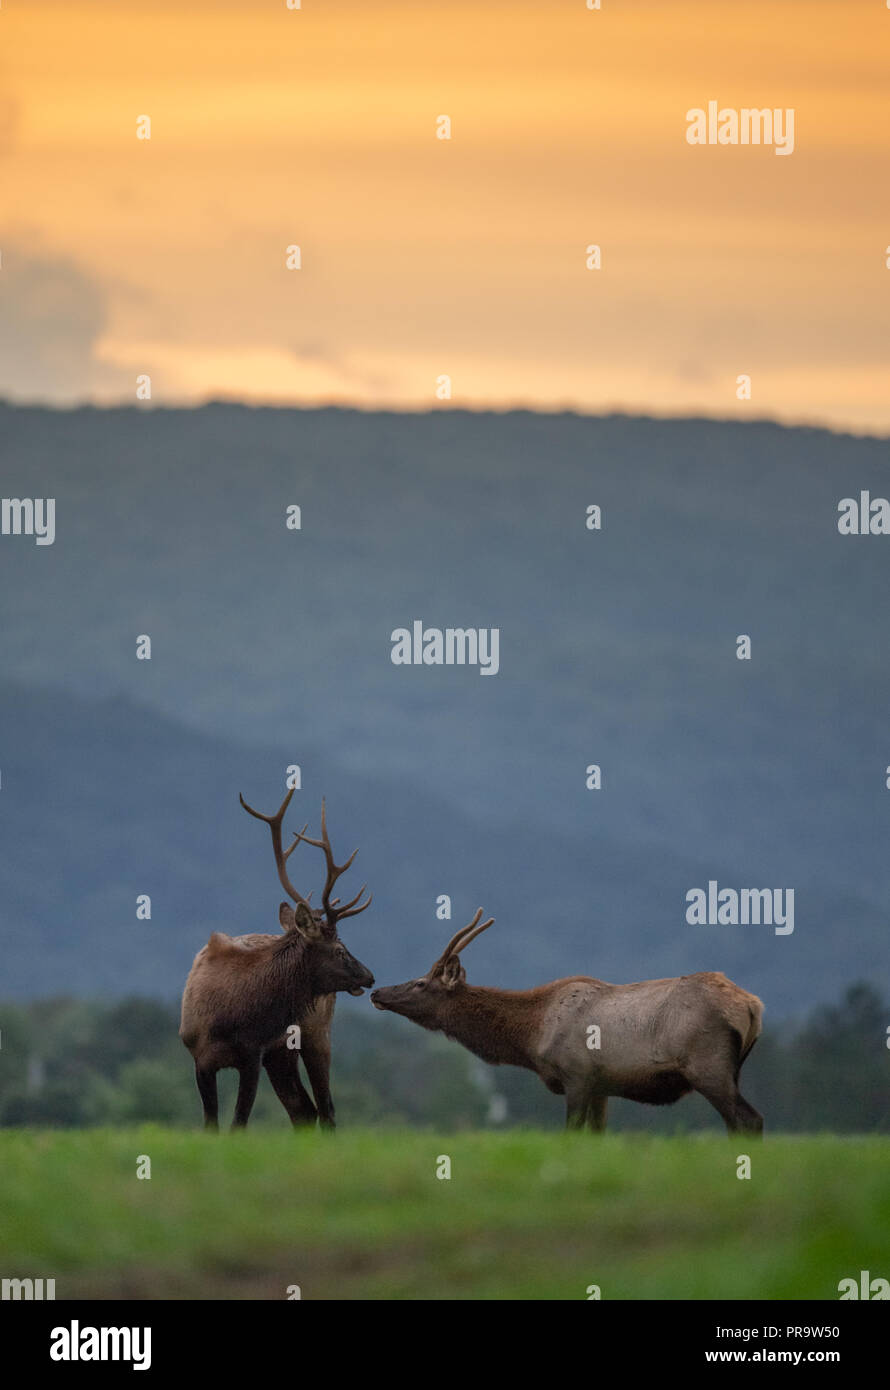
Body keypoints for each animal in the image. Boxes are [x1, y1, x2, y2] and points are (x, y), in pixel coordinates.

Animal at [180, 789, 374, 1130]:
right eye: (339, 949)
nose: (370, 975)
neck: (227, 1016)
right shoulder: (200, 1058)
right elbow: (212, 1126)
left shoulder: (252, 1054)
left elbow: (238, 1124)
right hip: (281, 1054)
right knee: (305, 1111)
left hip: (315, 1034)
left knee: (326, 1110)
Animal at [371, 910, 764, 1134]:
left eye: (421, 983)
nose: (377, 991)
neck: (531, 1035)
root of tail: (753, 1005)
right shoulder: (603, 1087)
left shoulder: (578, 1076)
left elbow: (572, 1134)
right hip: (731, 1070)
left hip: (708, 1067)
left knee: (749, 1120)